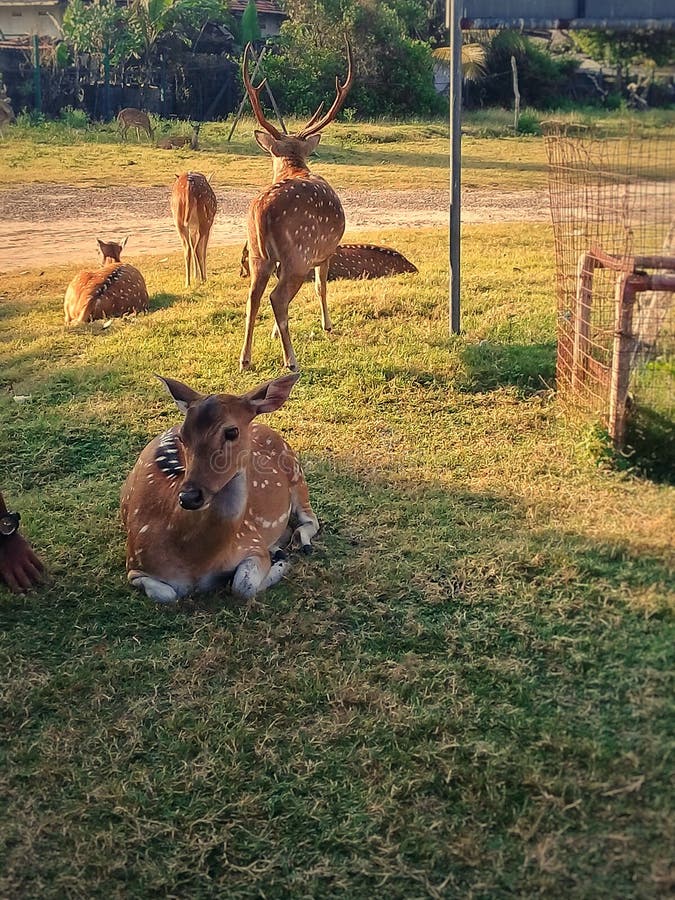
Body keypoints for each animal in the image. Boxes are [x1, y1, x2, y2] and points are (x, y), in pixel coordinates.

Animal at [120, 372, 319, 604]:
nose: (189, 496)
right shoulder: (135, 562)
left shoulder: (252, 543)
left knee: (310, 520)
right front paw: (279, 556)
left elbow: (243, 586)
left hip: (297, 474)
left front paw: (281, 563)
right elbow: (167, 594)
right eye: (182, 436)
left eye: (232, 431)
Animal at [240, 39, 353, 372]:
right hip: (299, 253)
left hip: (257, 253)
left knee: (252, 297)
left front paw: (274, 334)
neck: (294, 166)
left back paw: (245, 359)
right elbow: (321, 286)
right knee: (278, 297)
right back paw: (291, 361)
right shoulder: (326, 251)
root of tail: (263, 210)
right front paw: (327, 324)